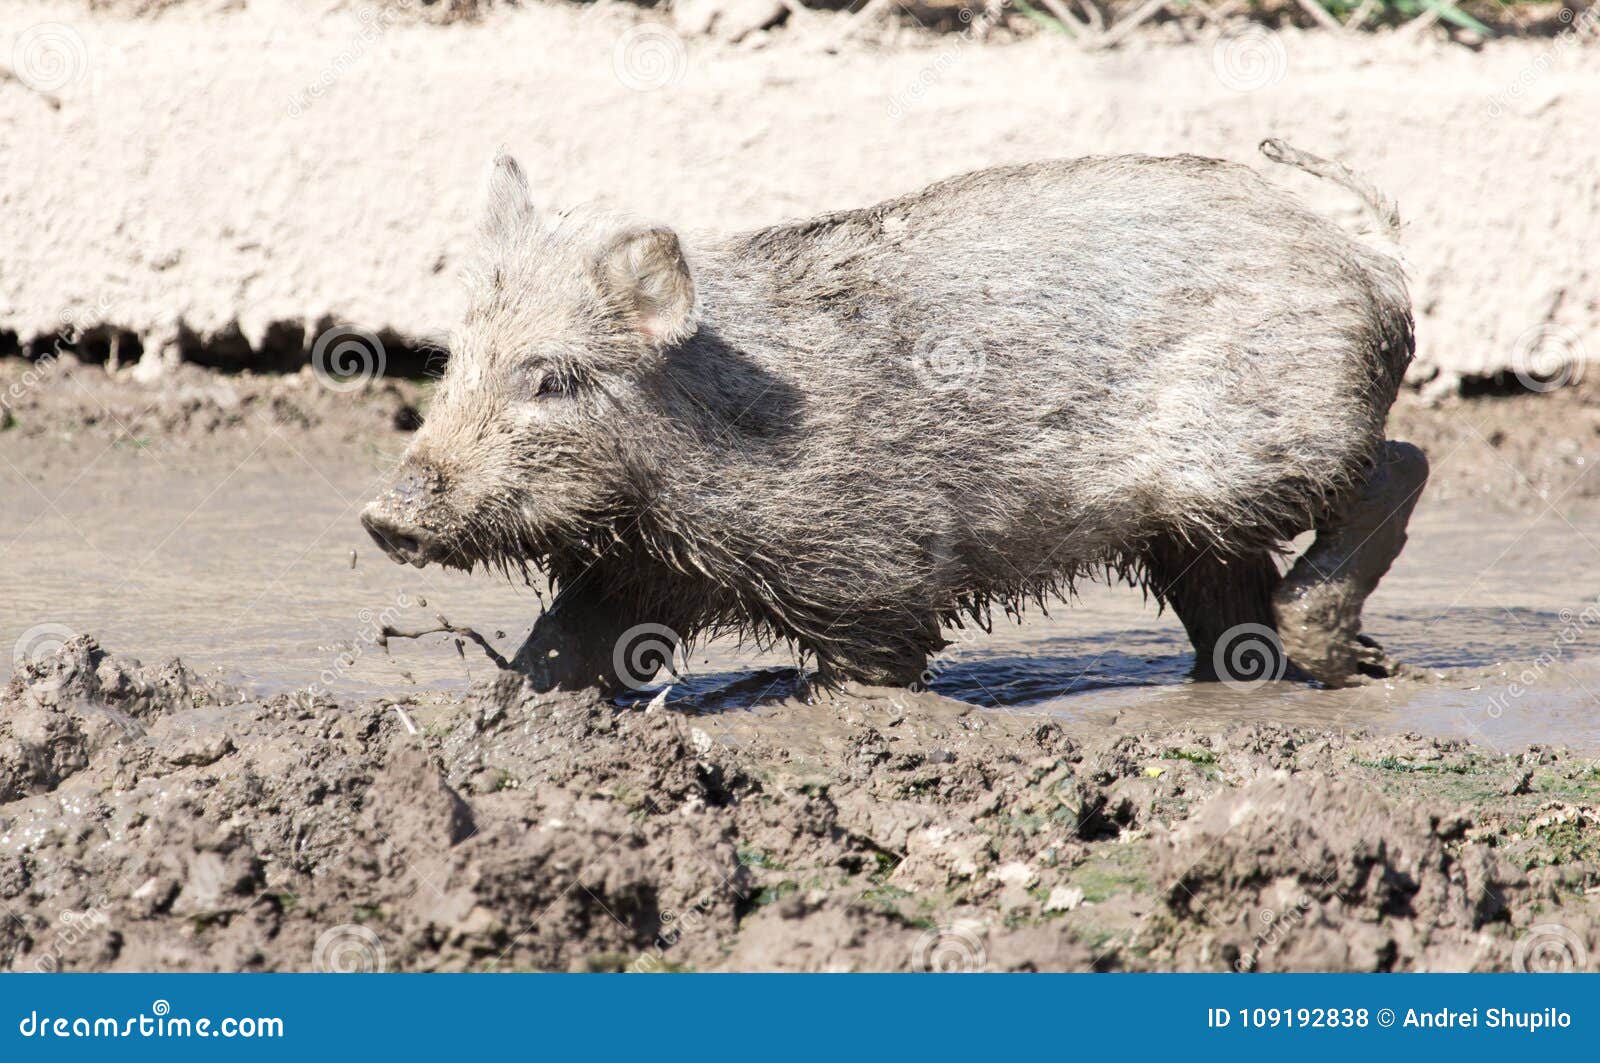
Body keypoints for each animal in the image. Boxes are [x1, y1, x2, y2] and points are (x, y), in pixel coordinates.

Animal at [362, 140, 1427, 694]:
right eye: (455, 359)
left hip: (1254, 453)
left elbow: (874, 667)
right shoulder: (638, 570)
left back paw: (1330, 648)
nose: (382, 515)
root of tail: (1373, 261)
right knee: (1230, 603)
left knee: (1401, 461)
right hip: (1192, 524)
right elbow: (559, 656)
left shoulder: (872, 573)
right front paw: (505, 726)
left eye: (550, 379)